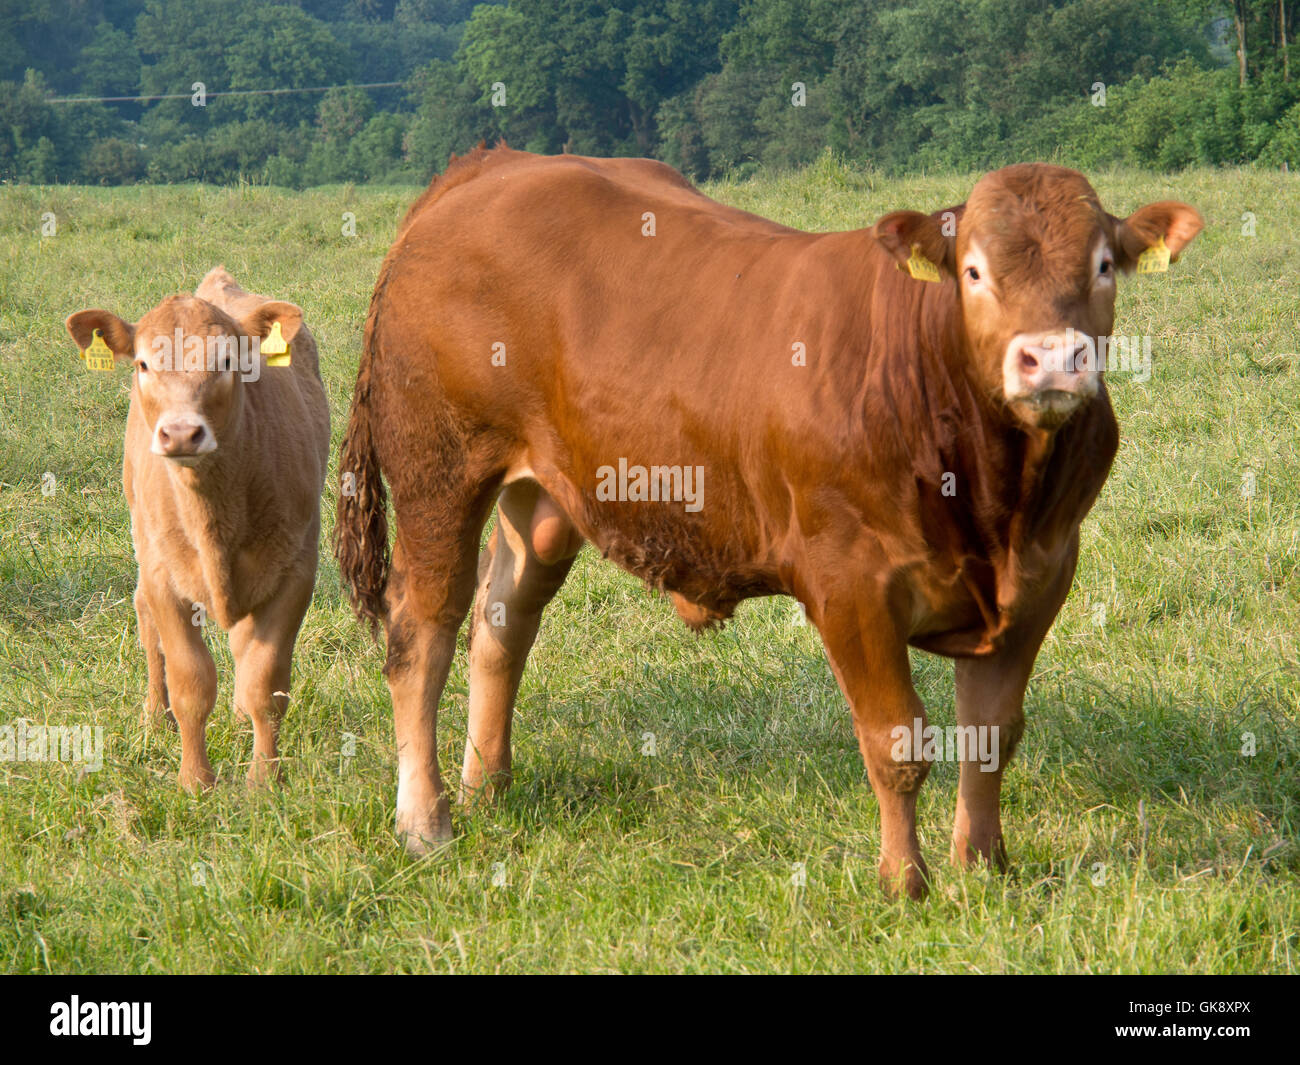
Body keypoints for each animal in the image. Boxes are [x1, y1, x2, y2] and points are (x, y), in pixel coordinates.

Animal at [66, 267, 330, 791]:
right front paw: (195, 780)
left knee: (243, 648)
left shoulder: (295, 572)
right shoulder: (163, 576)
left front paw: (263, 779)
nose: (182, 433)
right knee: (146, 623)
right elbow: (190, 681)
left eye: (228, 360)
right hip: (142, 543)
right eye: (143, 364)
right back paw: (154, 716)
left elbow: (265, 682)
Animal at [334, 146, 1202, 897]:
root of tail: (493, 166)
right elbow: (896, 742)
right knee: (423, 633)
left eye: (1101, 265)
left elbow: (992, 736)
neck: (995, 495)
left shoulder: (1043, 576)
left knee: (502, 619)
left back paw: (488, 785)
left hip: (543, 496)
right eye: (974, 271)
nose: (1051, 359)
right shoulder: (849, 584)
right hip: (439, 472)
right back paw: (426, 820)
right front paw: (905, 882)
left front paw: (985, 867)